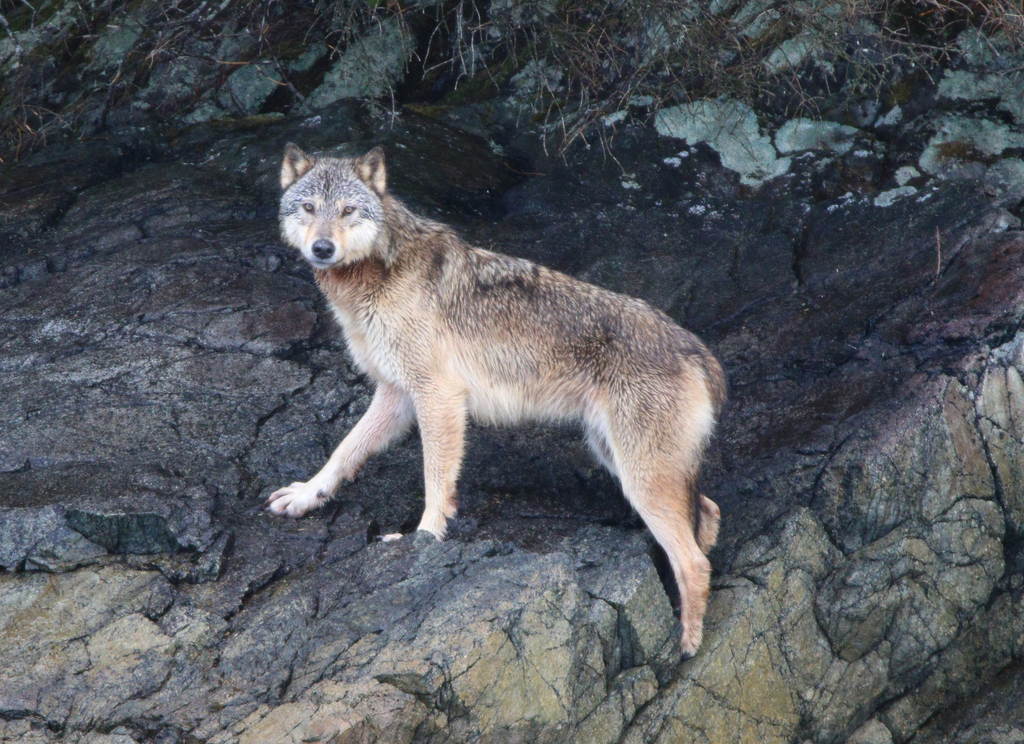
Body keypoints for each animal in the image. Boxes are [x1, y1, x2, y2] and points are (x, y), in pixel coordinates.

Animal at [267, 143, 727, 657]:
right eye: (310, 208)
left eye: (348, 211)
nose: (322, 249)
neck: (376, 273)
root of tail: (698, 351)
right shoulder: (396, 394)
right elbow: (343, 452)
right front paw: (306, 496)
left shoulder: (438, 395)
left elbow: (435, 480)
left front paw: (425, 537)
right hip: (620, 459)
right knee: (709, 513)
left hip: (640, 478)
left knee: (694, 561)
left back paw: (687, 645)